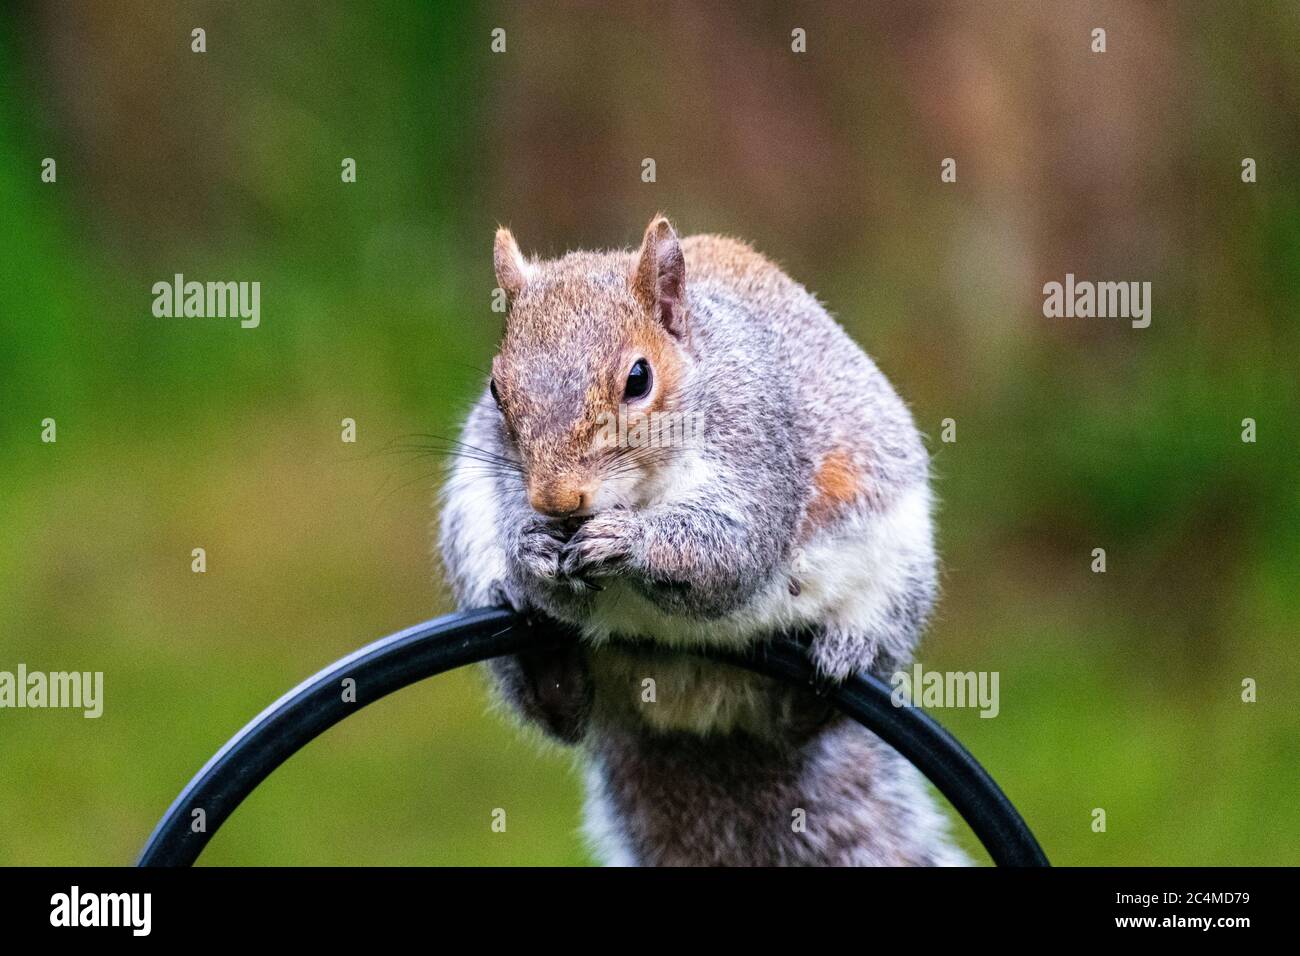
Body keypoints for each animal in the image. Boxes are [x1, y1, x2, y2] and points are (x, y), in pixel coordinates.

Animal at [439, 214, 967, 866]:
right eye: (495, 389)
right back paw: (547, 665)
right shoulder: (499, 483)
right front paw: (530, 553)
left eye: (639, 379)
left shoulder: (760, 450)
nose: (558, 501)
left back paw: (840, 657)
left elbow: (730, 554)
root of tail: (688, 714)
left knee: (808, 713)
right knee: (558, 711)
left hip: (898, 572)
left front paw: (631, 541)